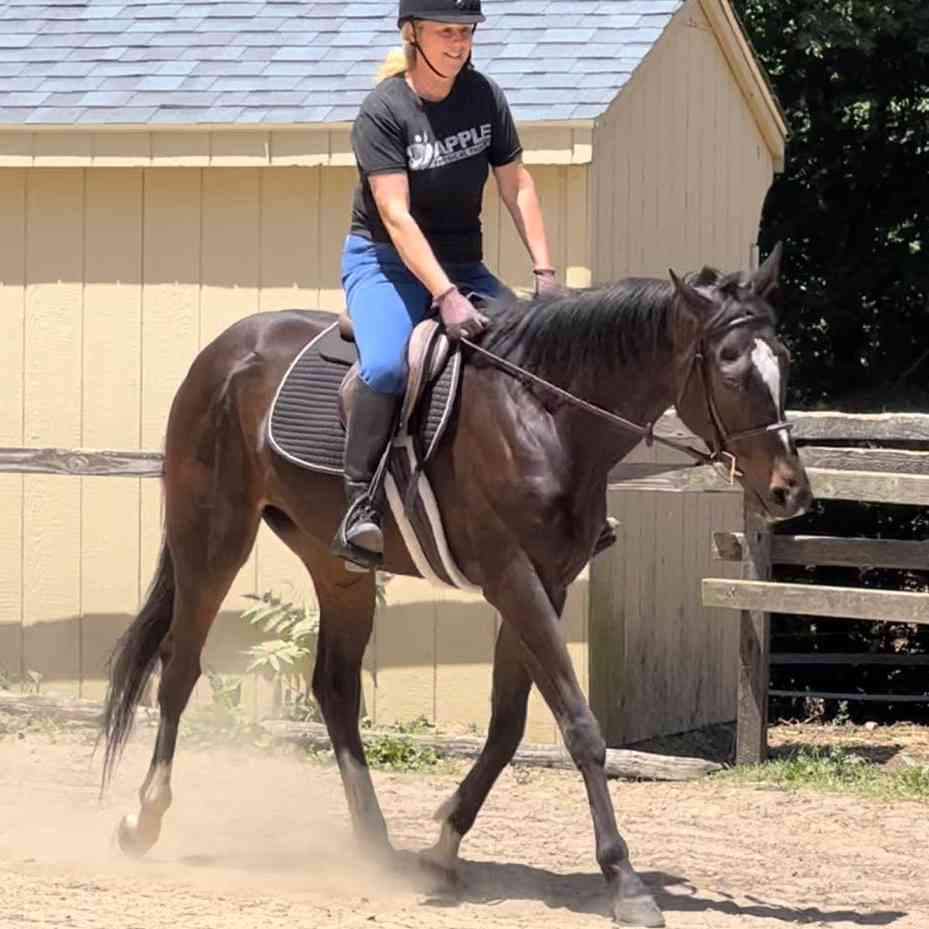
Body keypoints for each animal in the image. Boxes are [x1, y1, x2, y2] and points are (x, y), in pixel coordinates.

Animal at [101, 243, 811, 928]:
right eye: (729, 366)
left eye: (784, 359)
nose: (789, 492)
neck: (546, 416)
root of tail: (224, 352)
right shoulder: (512, 578)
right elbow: (579, 727)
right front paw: (625, 882)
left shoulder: (546, 583)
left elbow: (507, 726)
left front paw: (443, 846)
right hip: (212, 538)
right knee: (180, 666)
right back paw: (144, 818)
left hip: (338, 566)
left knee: (334, 686)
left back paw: (376, 848)